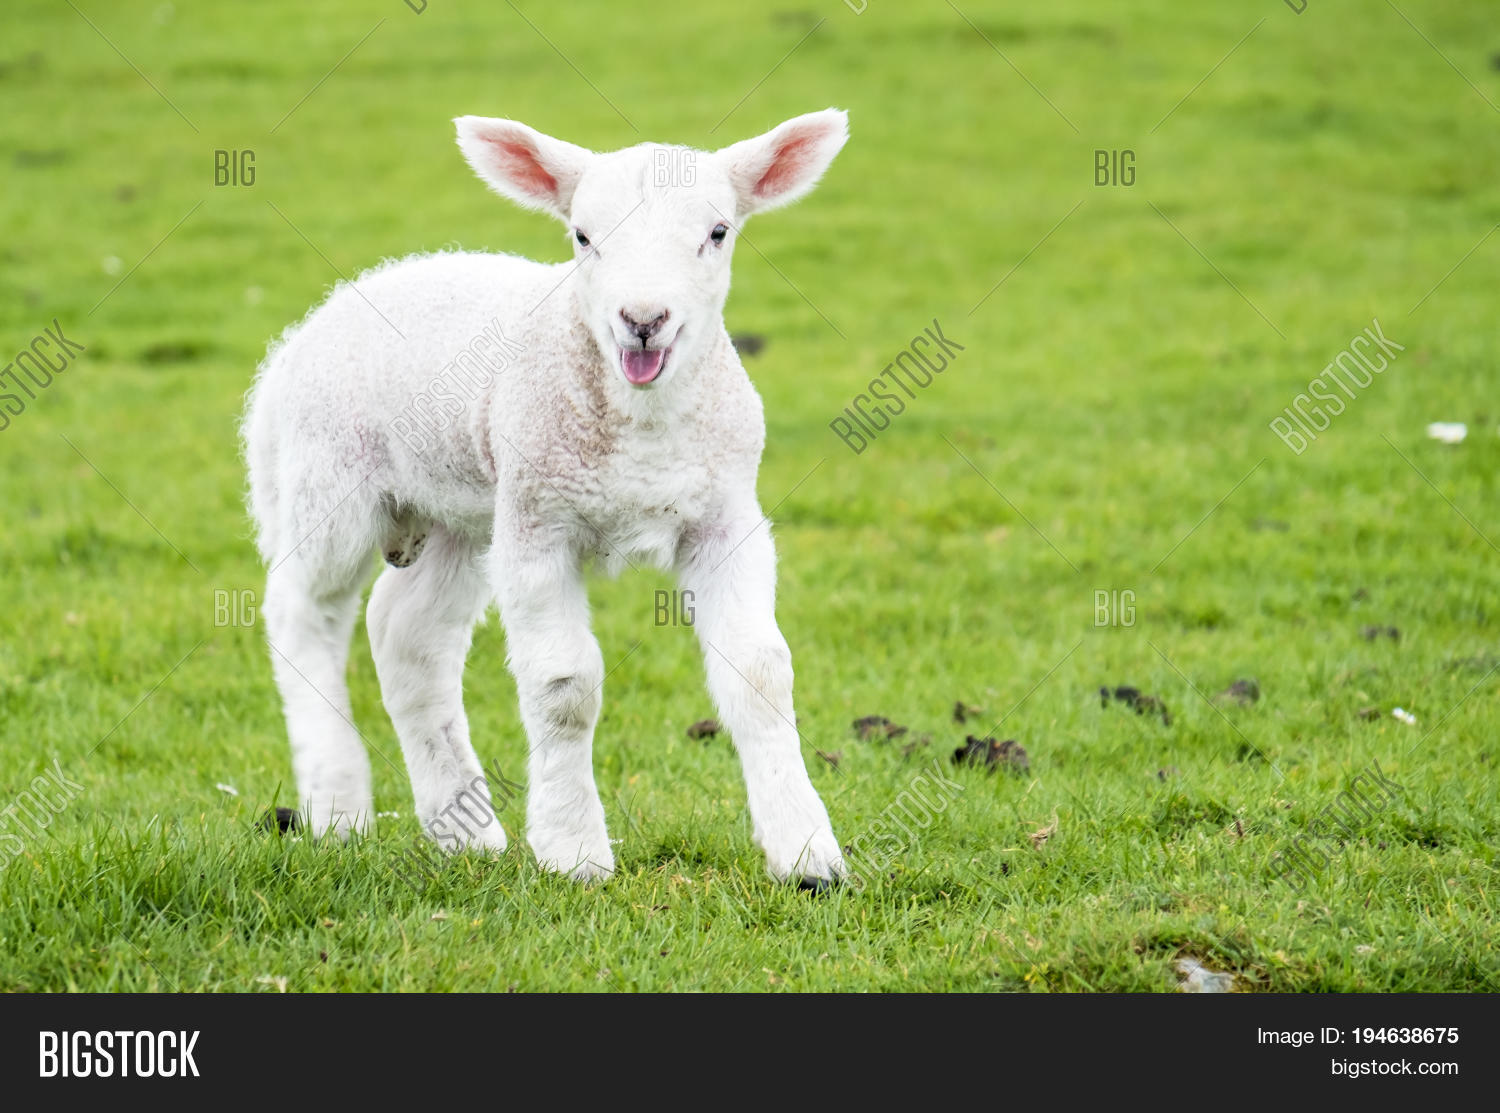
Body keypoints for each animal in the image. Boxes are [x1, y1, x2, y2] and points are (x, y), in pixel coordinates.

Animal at [241, 109, 850, 886]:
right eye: (583, 237)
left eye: (718, 231)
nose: (642, 319)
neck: (644, 427)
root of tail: (300, 336)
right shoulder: (540, 522)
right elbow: (565, 687)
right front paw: (573, 849)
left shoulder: (726, 518)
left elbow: (761, 674)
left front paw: (806, 853)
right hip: (330, 482)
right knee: (300, 612)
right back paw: (338, 805)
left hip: (460, 512)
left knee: (407, 634)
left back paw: (464, 830)